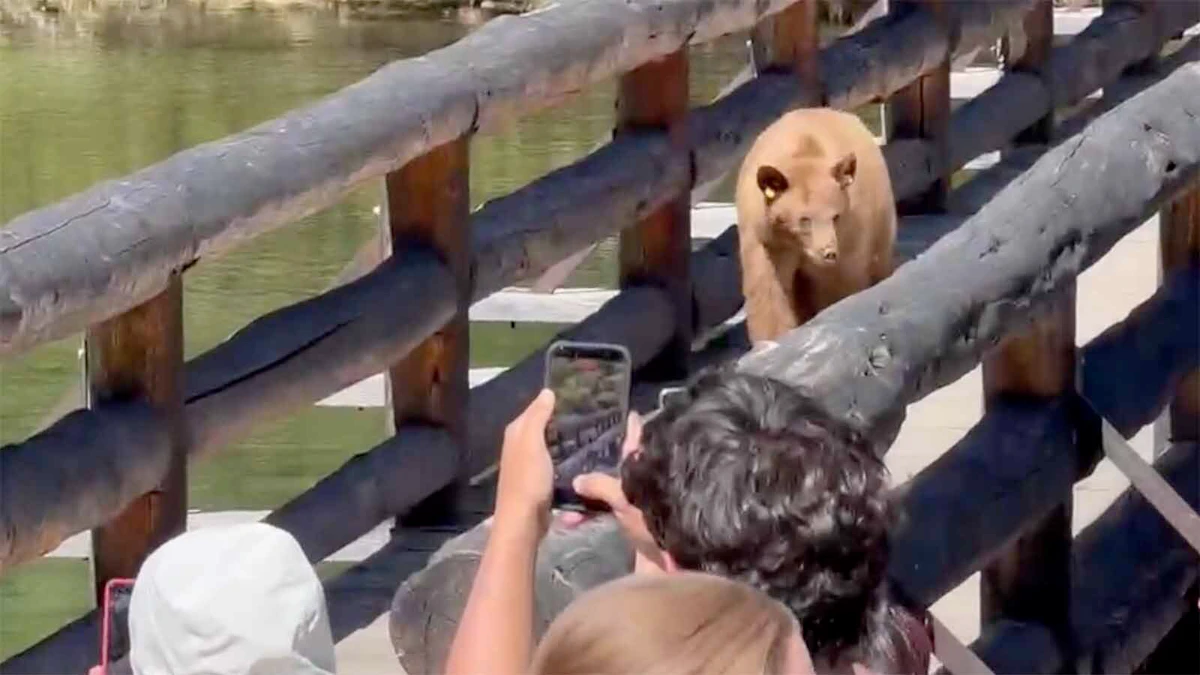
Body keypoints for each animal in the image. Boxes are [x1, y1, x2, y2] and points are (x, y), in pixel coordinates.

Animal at [735, 107, 897, 344]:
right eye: (804, 219)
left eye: (835, 216)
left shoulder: (850, 236)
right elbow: (769, 293)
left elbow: (838, 287)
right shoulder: (764, 238)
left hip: (880, 221)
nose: (828, 252)